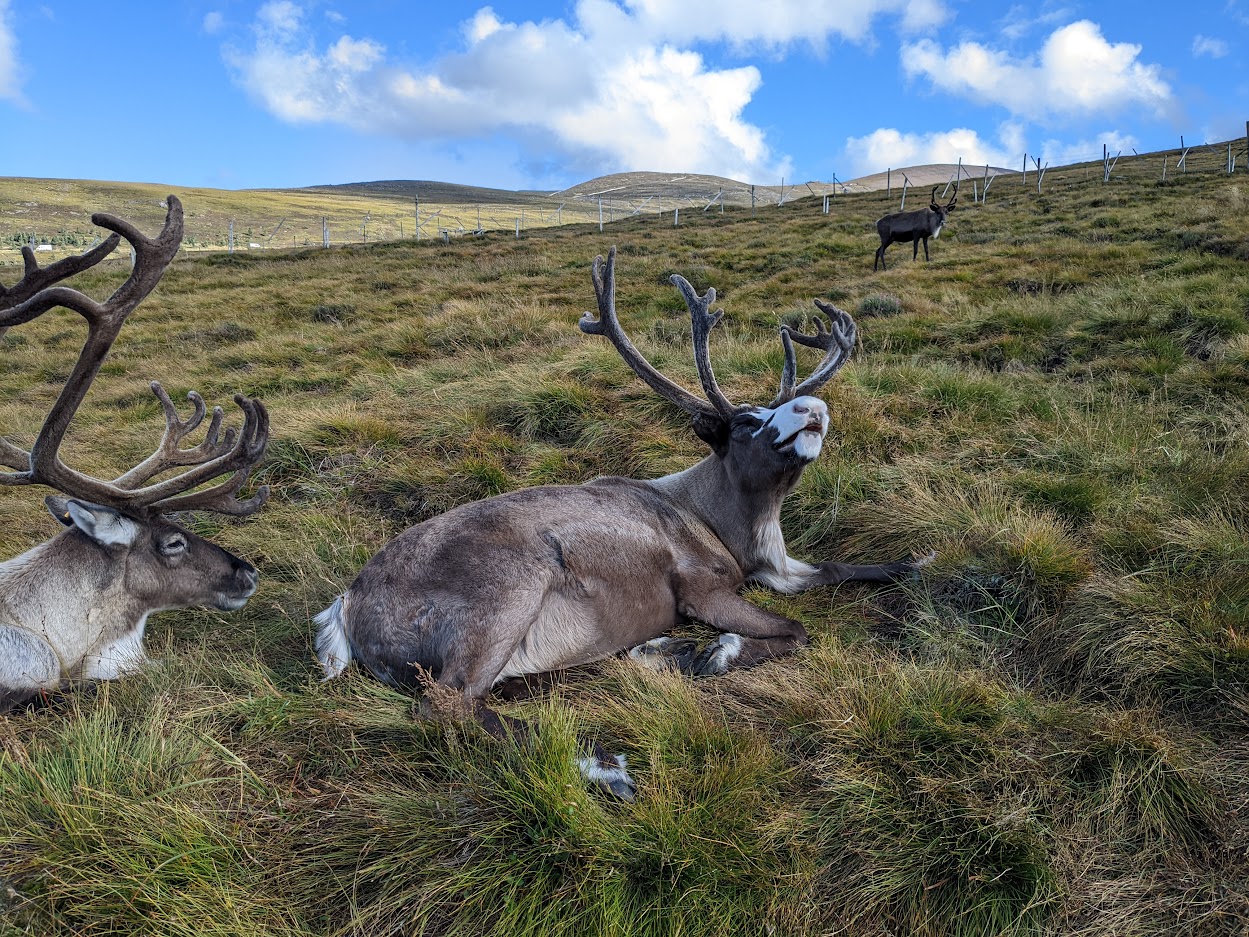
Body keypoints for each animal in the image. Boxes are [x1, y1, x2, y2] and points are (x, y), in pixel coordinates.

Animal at [316, 247, 933, 800]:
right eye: (743, 423)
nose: (814, 408)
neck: (722, 522)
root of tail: (345, 604)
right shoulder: (701, 588)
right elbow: (795, 630)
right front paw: (710, 653)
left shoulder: (777, 567)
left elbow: (838, 565)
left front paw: (919, 562)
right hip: (507, 592)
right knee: (446, 703)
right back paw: (604, 765)